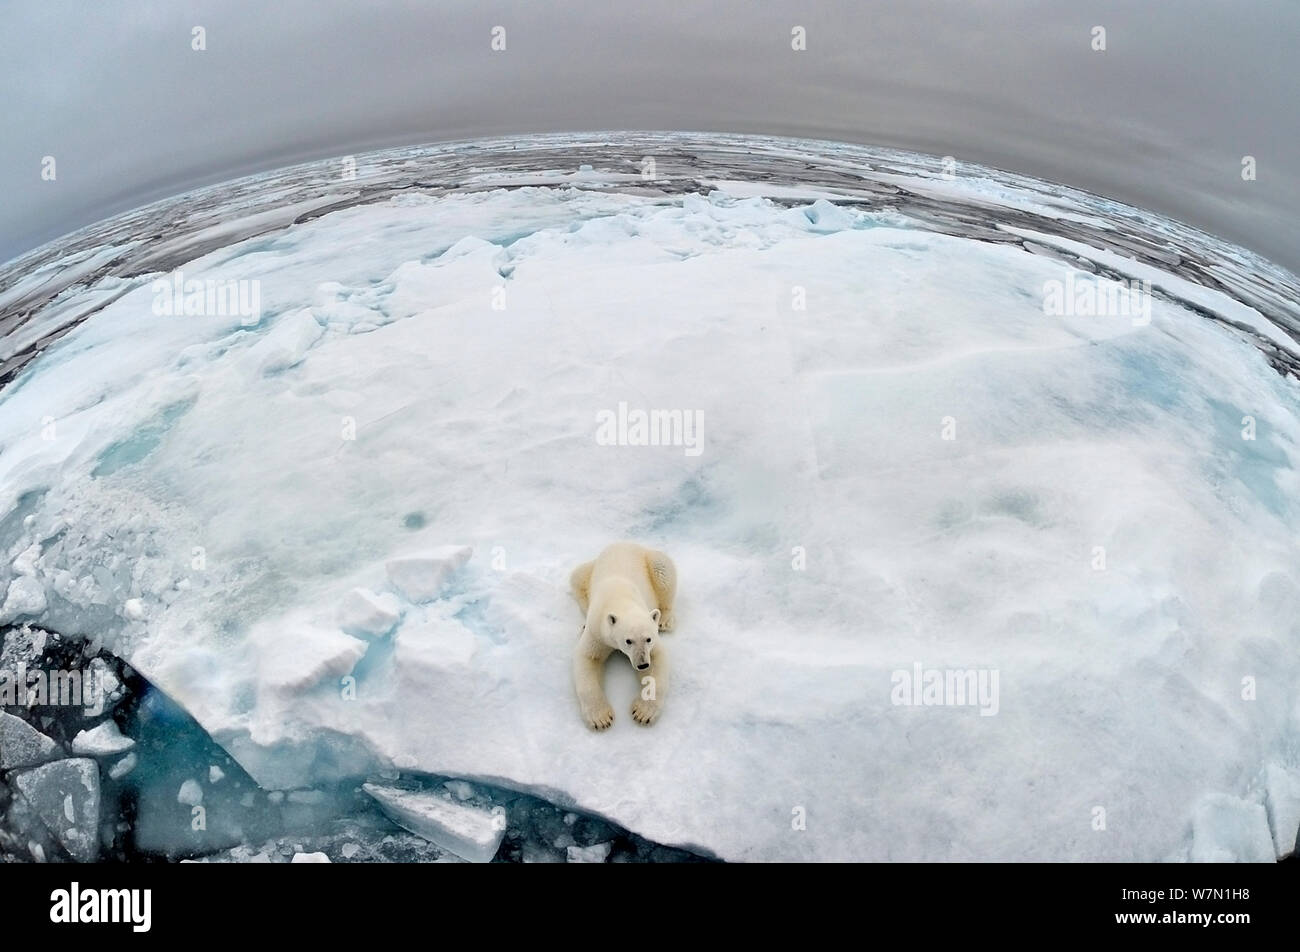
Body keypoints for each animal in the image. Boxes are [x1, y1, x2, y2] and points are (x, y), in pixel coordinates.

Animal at [570, 542, 677, 730]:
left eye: (648, 639)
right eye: (628, 641)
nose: (642, 664)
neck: (620, 598)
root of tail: (623, 542)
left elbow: (657, 657)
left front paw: (642, 712)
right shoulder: (597, 631)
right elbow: (588, 657)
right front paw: (600, 718)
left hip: (651, 559)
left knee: (663, 571)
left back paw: (664, 620)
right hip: (588, 572)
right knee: (576, 578)